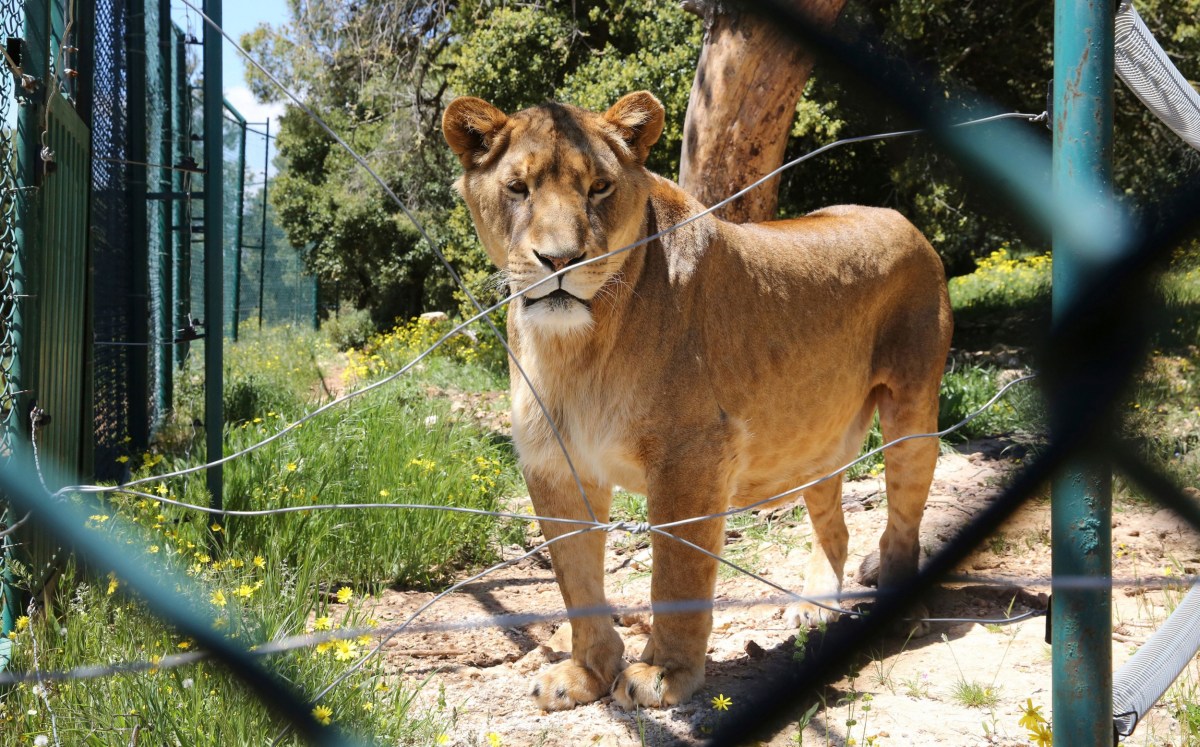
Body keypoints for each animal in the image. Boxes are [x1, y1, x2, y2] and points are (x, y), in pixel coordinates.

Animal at [442, 91, 952, 711]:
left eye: (599, 188)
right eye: (517, 188)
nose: (561, 261)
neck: (574, 347)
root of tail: (903, 220)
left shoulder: (692, 457)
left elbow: (677, 573)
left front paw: (664, 673)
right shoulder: (554, 463)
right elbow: (576, 580)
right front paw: (585, 673)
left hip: (911, 411)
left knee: (901, 518)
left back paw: (902, 613)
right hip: (819, 439)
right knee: (834, 525)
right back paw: (813, 607)